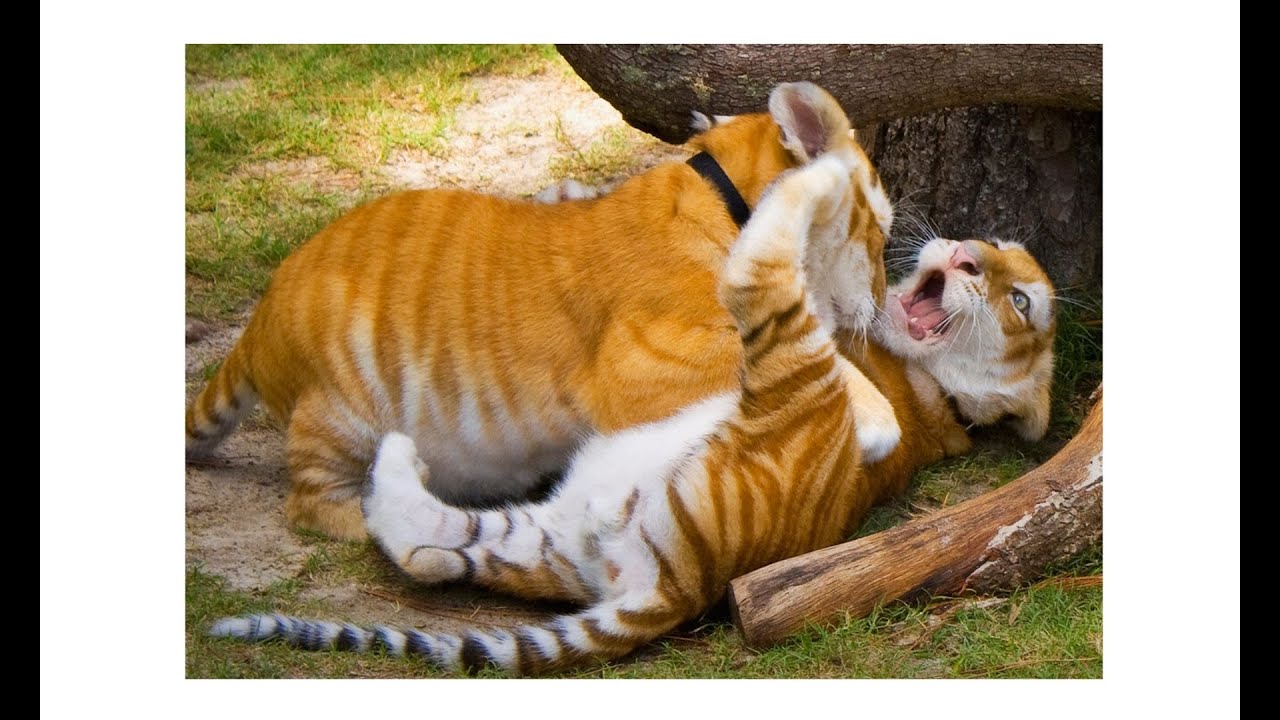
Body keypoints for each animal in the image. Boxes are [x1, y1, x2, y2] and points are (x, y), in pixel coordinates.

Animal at [186, 81, 902, 540]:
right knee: (309, 505)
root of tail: (257, 320)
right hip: (337, 410)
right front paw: (878, 421)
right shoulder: (648, 362)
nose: (882, 303)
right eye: (881, 231)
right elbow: (819, 363)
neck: (725, 198)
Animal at [209, 149, 1060, 676]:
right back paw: (402, 462)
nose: (964, 256)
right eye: (992, 242)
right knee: (426, 544)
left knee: (760, 261)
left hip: (772, 350)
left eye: (1019, 300)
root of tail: (677, 587)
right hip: (551, 531)